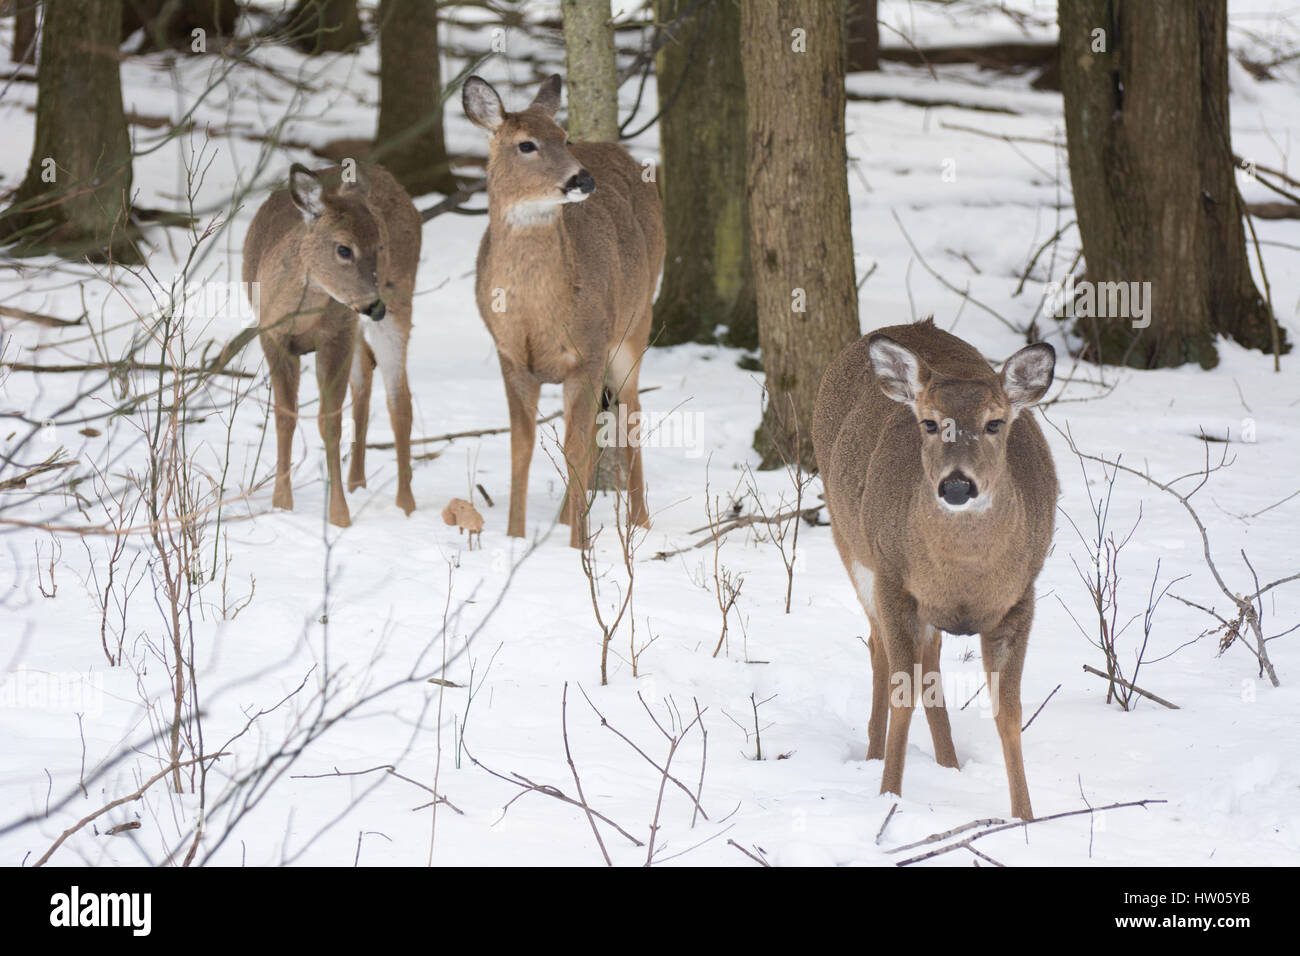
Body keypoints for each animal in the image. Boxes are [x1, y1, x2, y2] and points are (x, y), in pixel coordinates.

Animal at [243, 162, 421, 528]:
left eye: (380, 246)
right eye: (343, 249)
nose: (375, 306)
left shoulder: (335, 334)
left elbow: (330, 423)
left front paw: (339, 515)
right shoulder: (271, 334)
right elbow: (285, 417)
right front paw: (282, 504)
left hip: (397, 303)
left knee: (400, 400)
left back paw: (405, 505)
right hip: (357, 328)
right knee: (364, 383)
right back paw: (358, 484)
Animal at [462, 74, 665, 549]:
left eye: (564, 136)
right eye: (526, 144)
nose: (582, 178)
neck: (537, 316)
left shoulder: (587, 352)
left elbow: (574, 448)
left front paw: (579, 547)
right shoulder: (512, 358)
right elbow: (522, 447)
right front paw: (517, 536)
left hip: (634, 324)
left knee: (630, 415)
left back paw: (640, 523)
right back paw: (565, 520)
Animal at [811, 317, 1057, 821]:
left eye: (994, 422)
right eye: (928, 422)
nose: (957, 485)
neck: (963, 578)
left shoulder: (1020, 597)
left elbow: (1009, 711)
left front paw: (1025, 816)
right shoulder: (892, 579)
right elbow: (901, 693)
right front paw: (888, 796)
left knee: (929, 660)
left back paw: (950, 766)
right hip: (851, 543)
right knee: (879, 647)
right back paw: (874, 757)